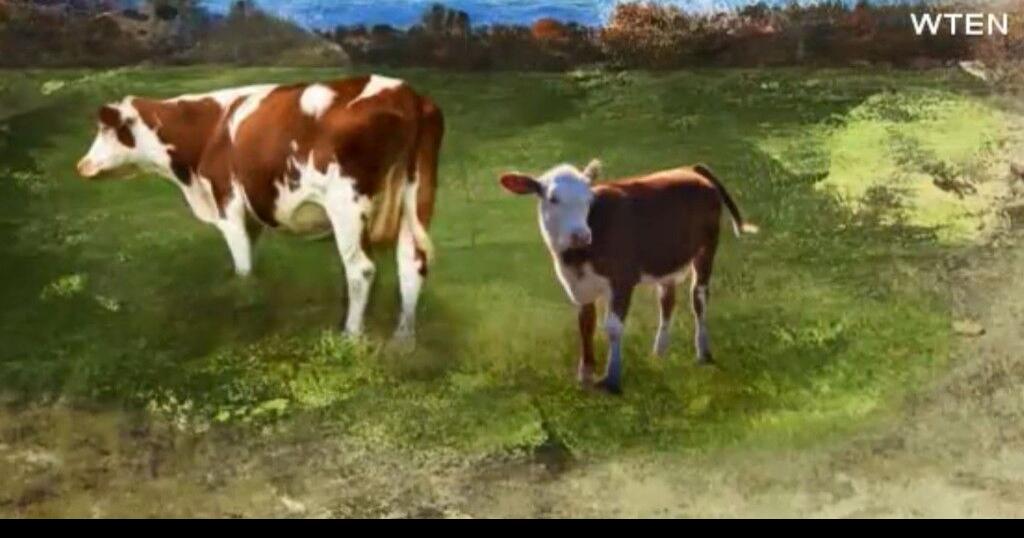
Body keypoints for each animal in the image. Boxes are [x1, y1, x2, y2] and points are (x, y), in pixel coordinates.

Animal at [76, 74, 444, 343]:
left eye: (105, 130)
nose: (82, 166)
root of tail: (406, 94)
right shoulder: (251, 218)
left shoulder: (228, 205)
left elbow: (243, 268)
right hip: (418, 197)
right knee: (411, 265)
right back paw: (403, 341)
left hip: (347, 205)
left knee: (361, 270)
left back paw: (351, 337)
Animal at [499, 160, 757, 394]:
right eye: (553, 199)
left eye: (589, 199)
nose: (581, 235)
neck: (578, 257)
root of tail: (689, 169)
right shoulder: (578, 285)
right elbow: (585, 324)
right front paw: (585, 375)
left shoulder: (622, 279)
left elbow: (613, 327)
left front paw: (611, 378)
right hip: (667, 259)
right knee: (667, 301)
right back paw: (659, 352)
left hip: (706, 247)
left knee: (699, 297)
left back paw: (703, 351)